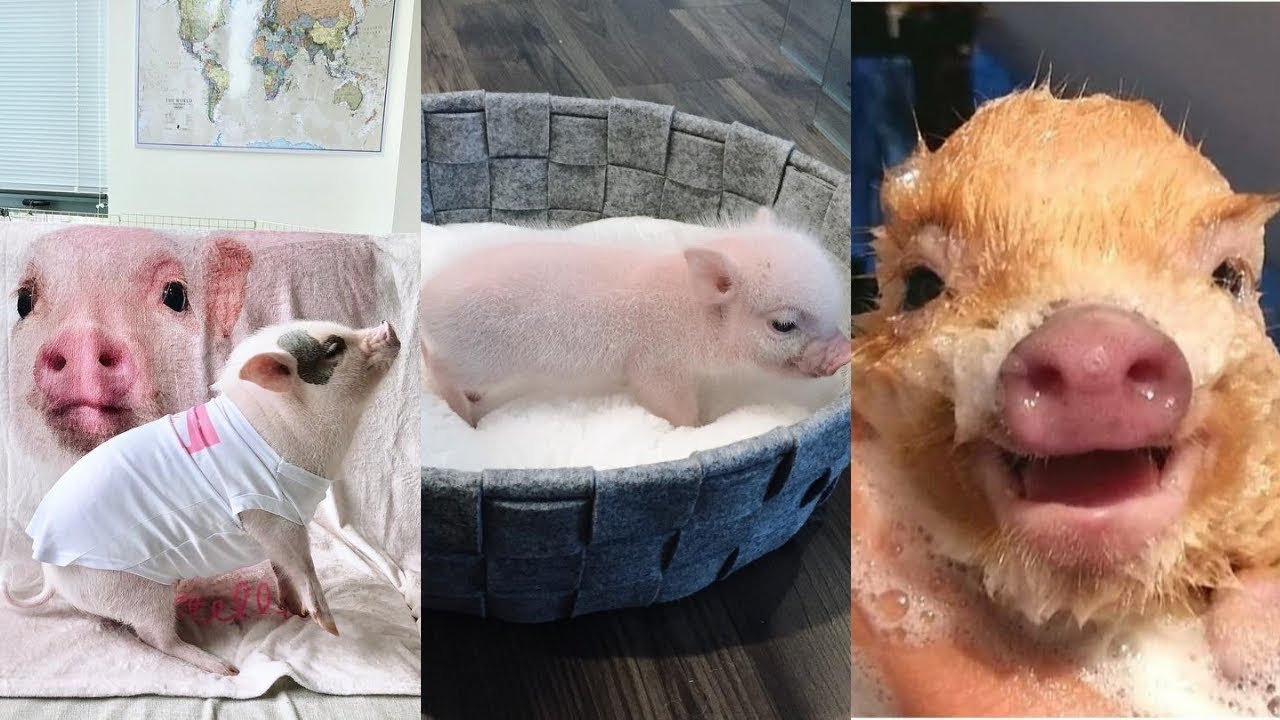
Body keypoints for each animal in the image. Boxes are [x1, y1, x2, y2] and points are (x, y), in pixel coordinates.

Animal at [2, 320, 400, 675]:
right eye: (334, 347)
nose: (388, 327)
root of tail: (49, 571)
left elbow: (281, 565)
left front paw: (294, 611)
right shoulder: (269, 516)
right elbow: (303, 563)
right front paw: (329, 627)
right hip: (139, 591)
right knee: (154, 637)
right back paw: (224, 668)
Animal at [419, 209, 850, 427]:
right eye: (784, 325)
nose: (843, 350)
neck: (694, 315)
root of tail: (426, 299)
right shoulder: (655, 366)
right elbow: (674, 408)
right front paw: (695, 430)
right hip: (478, 359)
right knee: (437, 367)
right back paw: (465, 414)